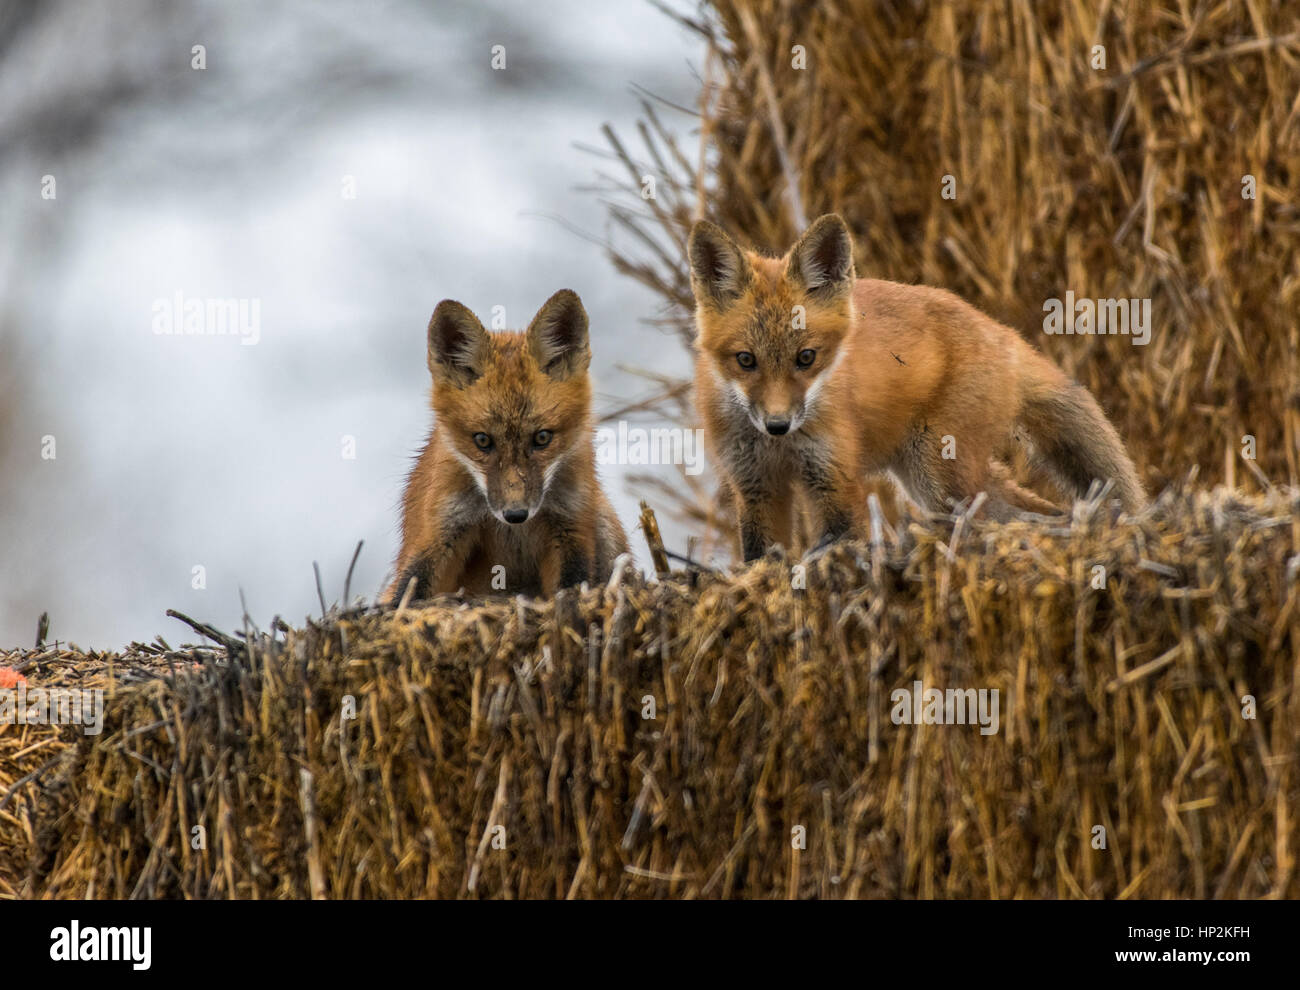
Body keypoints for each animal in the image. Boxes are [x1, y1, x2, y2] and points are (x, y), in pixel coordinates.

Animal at [386, 289, 628, 602]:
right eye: (482, 440)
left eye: (542, 438)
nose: (515, 514)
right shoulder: (442, 528)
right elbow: (411, 589)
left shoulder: (570, 525)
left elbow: (571, 585)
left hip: (605, 523)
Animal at [687, 213, 1147, 562]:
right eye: (746, 360)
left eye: (806, 357)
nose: (778, 425)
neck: (781, 449)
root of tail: (1000, 330)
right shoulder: (755, 486)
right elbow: (760, 558)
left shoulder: (834, 477)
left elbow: (841, 538)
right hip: (926, 474)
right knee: (1030, 511)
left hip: (940, 470)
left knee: (999, 518)